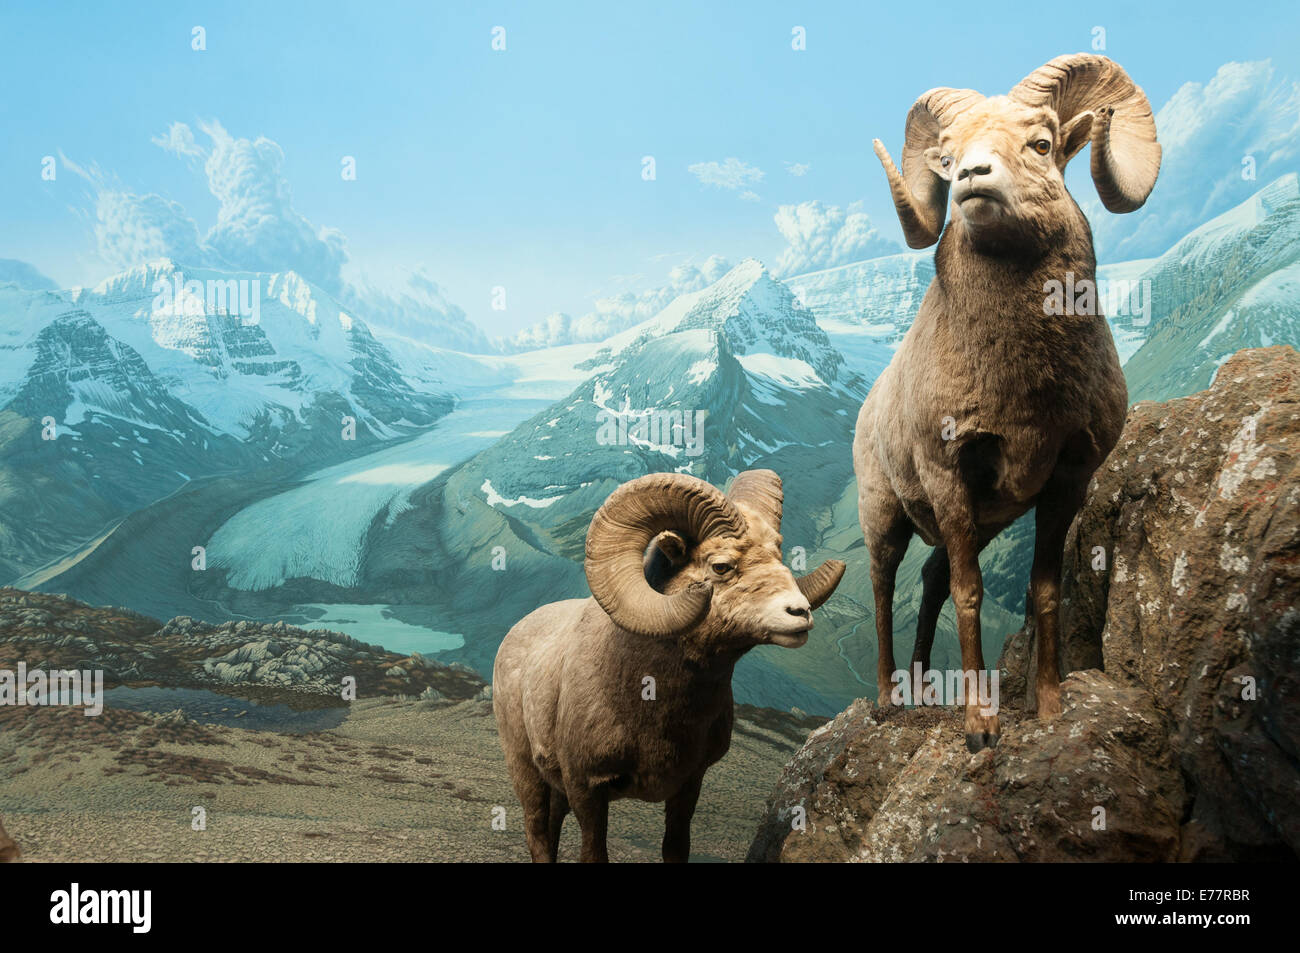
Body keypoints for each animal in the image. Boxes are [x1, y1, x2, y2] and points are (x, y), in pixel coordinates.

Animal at [493, 469, 844, 862]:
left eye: (778, 553)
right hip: (527, 774)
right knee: (539, 835)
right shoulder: (587, 790)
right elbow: (594, 852)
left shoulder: (688, 785)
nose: (799, 613)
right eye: (720, 566)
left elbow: (675, 848)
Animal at [855, 54, 1160, 751]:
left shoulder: (1066, 479)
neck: (1026, 389)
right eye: (948, 154)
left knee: (930, 583)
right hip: (885, 516)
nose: (972, 177)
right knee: (885, 588)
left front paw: (1047, 707)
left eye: (1042, 144)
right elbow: (970, 594)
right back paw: (889, 700)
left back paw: (922, 694)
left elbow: (1041, 592)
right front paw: (979, 728)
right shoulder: (949, 476)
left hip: (971, 521)